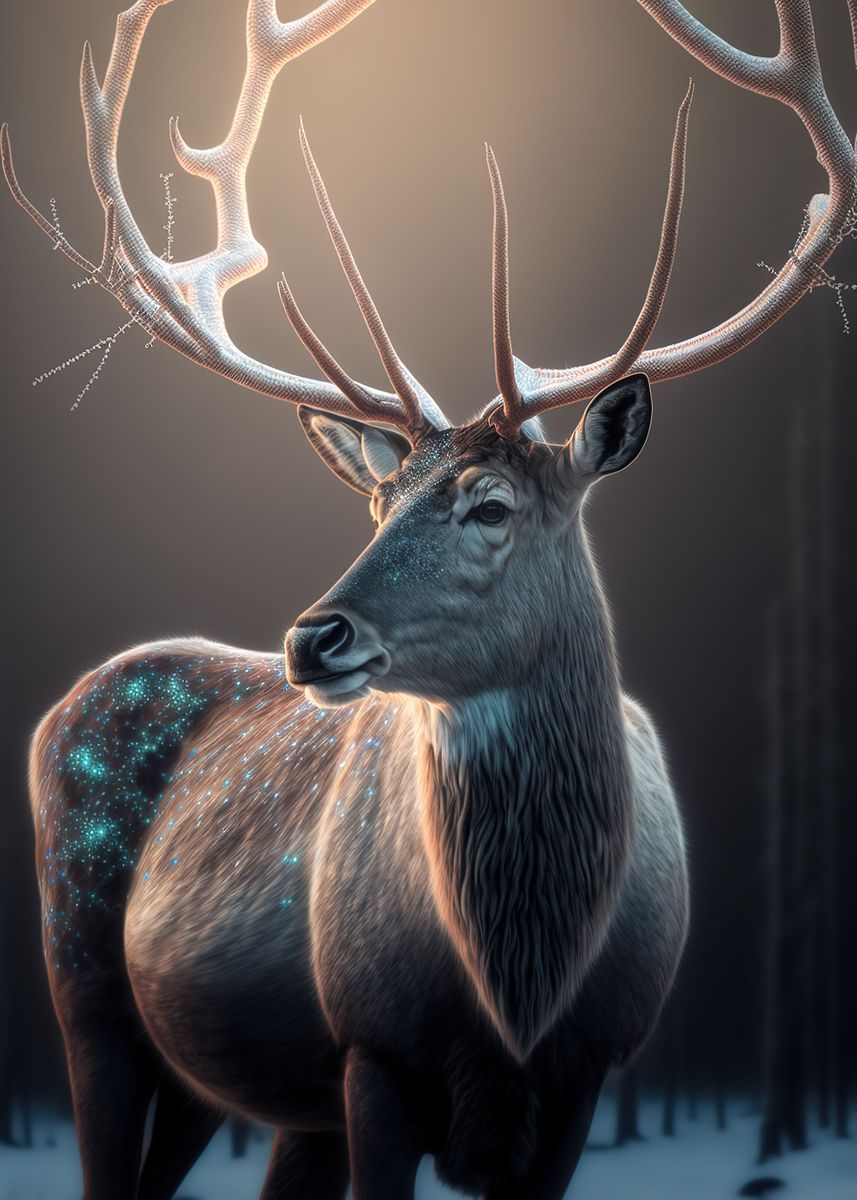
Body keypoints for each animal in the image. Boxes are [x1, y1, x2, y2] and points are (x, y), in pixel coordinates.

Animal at [4, 0, 855, 1197]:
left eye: (489, 505)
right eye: (377, 499)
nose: (315, 637)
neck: (517, 995)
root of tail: (57, 711)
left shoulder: (590, 1077)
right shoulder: (371, 1052)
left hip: (228, 1078)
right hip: (86, 987)